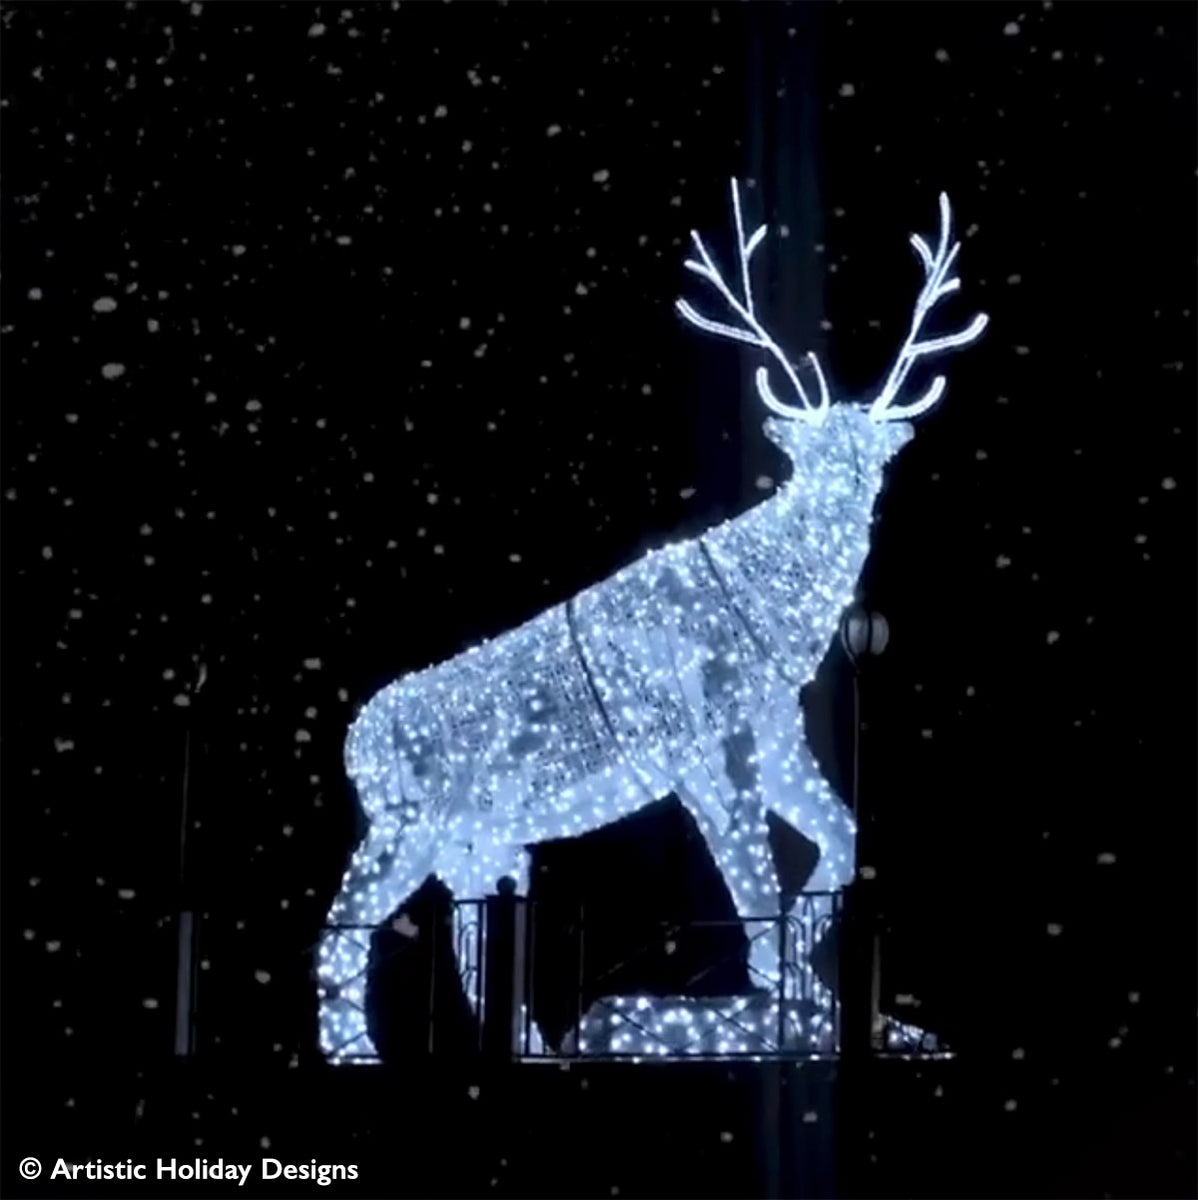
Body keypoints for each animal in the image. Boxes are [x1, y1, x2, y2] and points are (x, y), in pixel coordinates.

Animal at [317, 179, 988, 1063]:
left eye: (869, 455)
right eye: (808, 454)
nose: (841, 497)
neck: (765, 611)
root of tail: (354, 738)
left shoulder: (776, 733)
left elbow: (841, 838)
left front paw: (818, 986)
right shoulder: (702, 747)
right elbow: (749, 874)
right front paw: (779, 996)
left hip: (483, 838)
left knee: (474, 935)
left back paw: (543, 1045)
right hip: (404, 824)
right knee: (341, 931)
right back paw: (360, 1052)